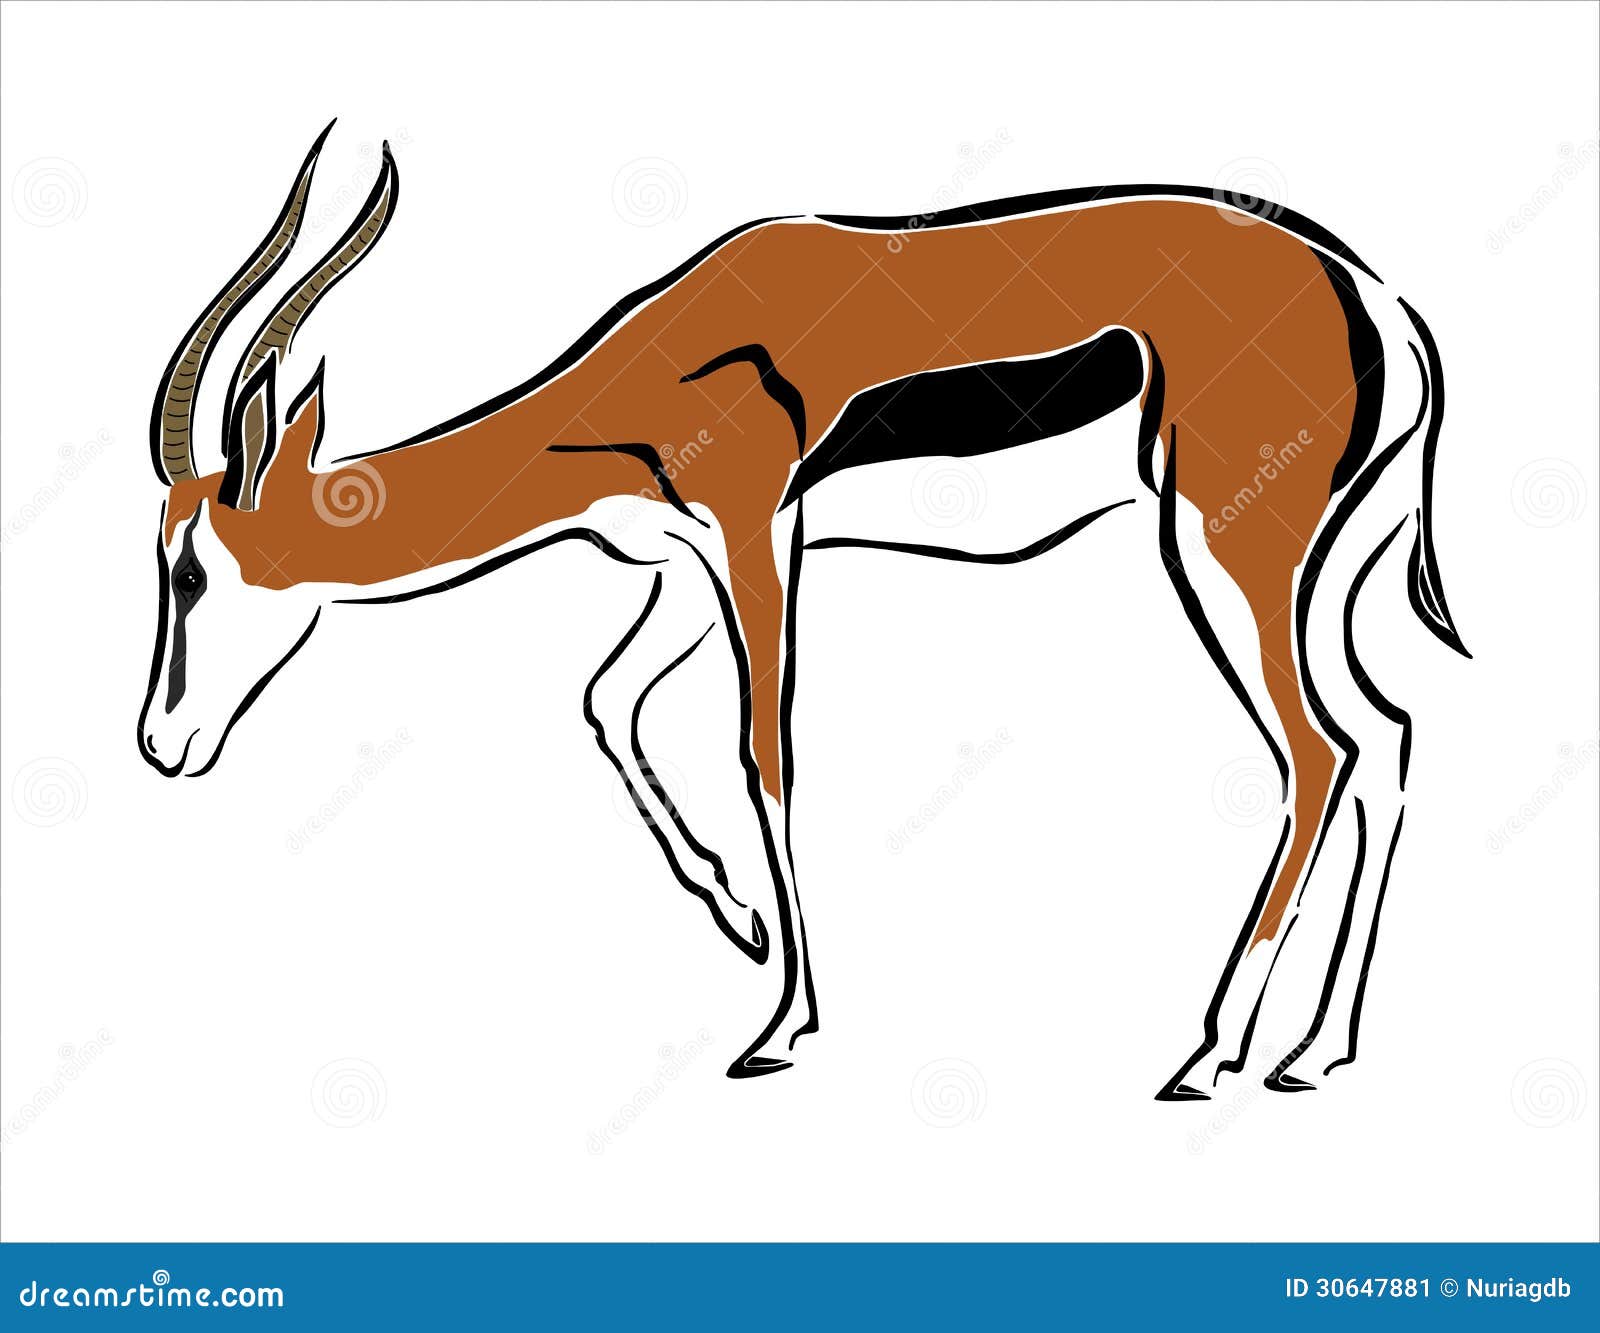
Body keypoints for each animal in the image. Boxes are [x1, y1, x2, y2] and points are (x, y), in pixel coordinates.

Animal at [139, 124, 1465, 1096]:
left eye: (189, 569)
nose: (162, 742)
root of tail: (1375, 299)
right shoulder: (680, 569)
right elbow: (605, 703)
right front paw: (739, 924)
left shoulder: (755, 538)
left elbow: (764, 752)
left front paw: (780, 1026)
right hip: (1317, 576)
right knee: (1386, 739)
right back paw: (1313, 1053)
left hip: (1226, 553)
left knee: (1315, 752)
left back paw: (1207, 1053)